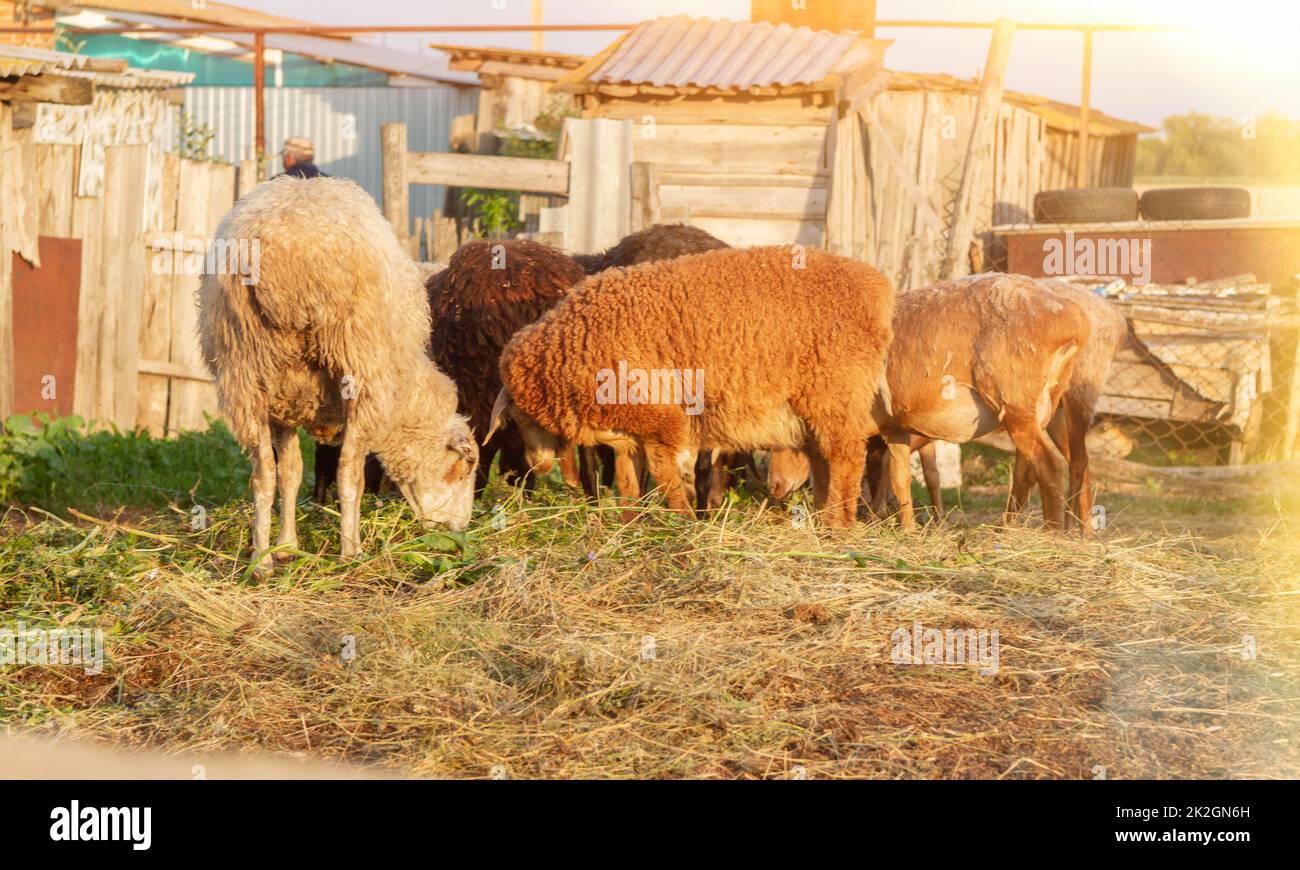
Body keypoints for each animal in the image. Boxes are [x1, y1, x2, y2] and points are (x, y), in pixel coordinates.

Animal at [198, 176, 478, 572]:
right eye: (466, 467)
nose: (460, 531)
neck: (406, 397)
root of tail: (288, 249)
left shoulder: (285, 403)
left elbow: (291, 473)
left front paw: (286, 546)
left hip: (245, 368)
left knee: (262, 473)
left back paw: (260, 563)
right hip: (359, 366)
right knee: (349, 470)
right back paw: (352, 553)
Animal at [486, 245, 896, 528]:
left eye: (520, 419)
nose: (538, 467)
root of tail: (879, 289)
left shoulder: (663, 422)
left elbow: (665, 477)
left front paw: (682, 524)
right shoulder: (629, 434)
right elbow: (628, 483)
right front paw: (629, 528)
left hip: (837, 396)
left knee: (847, 460)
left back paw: (841, 527)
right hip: (816, 410)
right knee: (826, 462)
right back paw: (827, 524)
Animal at [766, 273, 1091, 530]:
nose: (775, 486)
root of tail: (1073, 318)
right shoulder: (894, 426)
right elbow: (900, 478)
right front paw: (908, 528)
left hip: (1017, 406)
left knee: (1049, 464)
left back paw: (1052, 533)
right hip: (1042, 408)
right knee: (1039, 467)